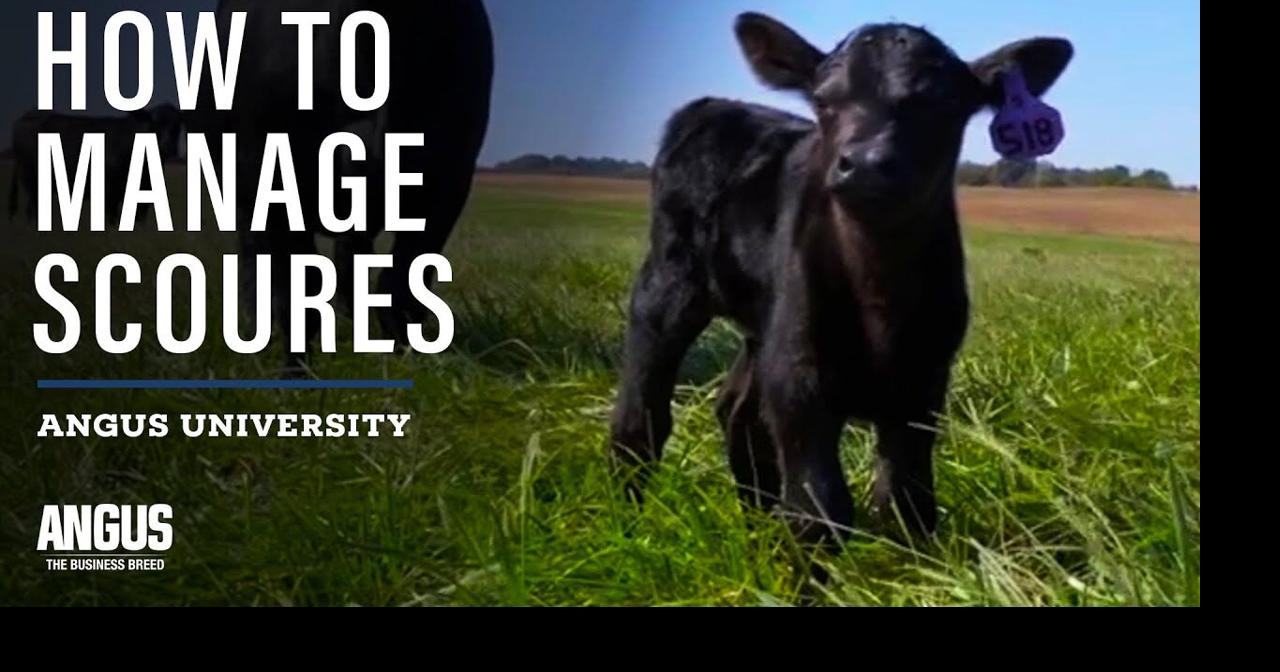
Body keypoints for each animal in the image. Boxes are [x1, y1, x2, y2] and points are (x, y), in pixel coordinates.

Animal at [8, 104, 184, 226]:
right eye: (154, 124)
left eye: (177, 125)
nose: (167, 147)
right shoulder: (110, 193)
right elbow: (112, 220)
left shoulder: (145, 194)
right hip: (31, 180)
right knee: (32, 211)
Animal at [187, 0, 494, 376]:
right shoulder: (271, 175)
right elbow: (296, 294)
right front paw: (294, 374)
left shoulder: (448, 177)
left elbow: (401, 288)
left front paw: (406, 366)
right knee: (255, 259)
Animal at [608, 13, 1073, 550]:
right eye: (824, 100)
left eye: (943, 103)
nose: (867, 164)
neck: (880, 301)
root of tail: (717, 105)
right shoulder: (800, 379)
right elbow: (818, 511)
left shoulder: (923, 385)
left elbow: (907, 502)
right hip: (667, 285)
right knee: (640, 420)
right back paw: (627, 532)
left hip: (765, 325)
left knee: (737, 413)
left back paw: (756, 531)